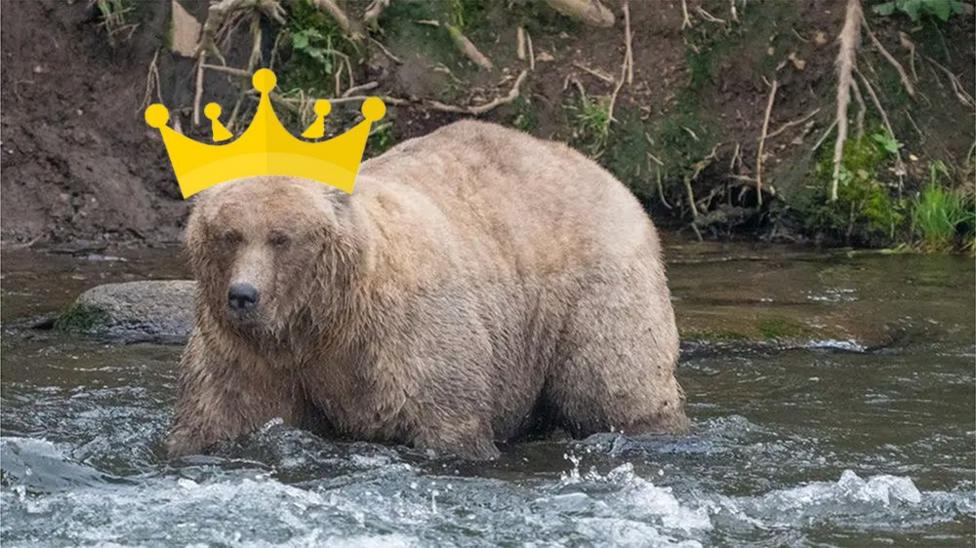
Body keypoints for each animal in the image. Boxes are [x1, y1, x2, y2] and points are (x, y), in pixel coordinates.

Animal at [165, 120, 688, 460]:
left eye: (281, 237)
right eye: (229, 234)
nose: (243, 295)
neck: (322, 321)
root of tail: (606, 175)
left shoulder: (404, 334)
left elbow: (445, 414)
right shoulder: (248, 353)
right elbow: (221, 412)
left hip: (594, 291)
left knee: (614, 383)